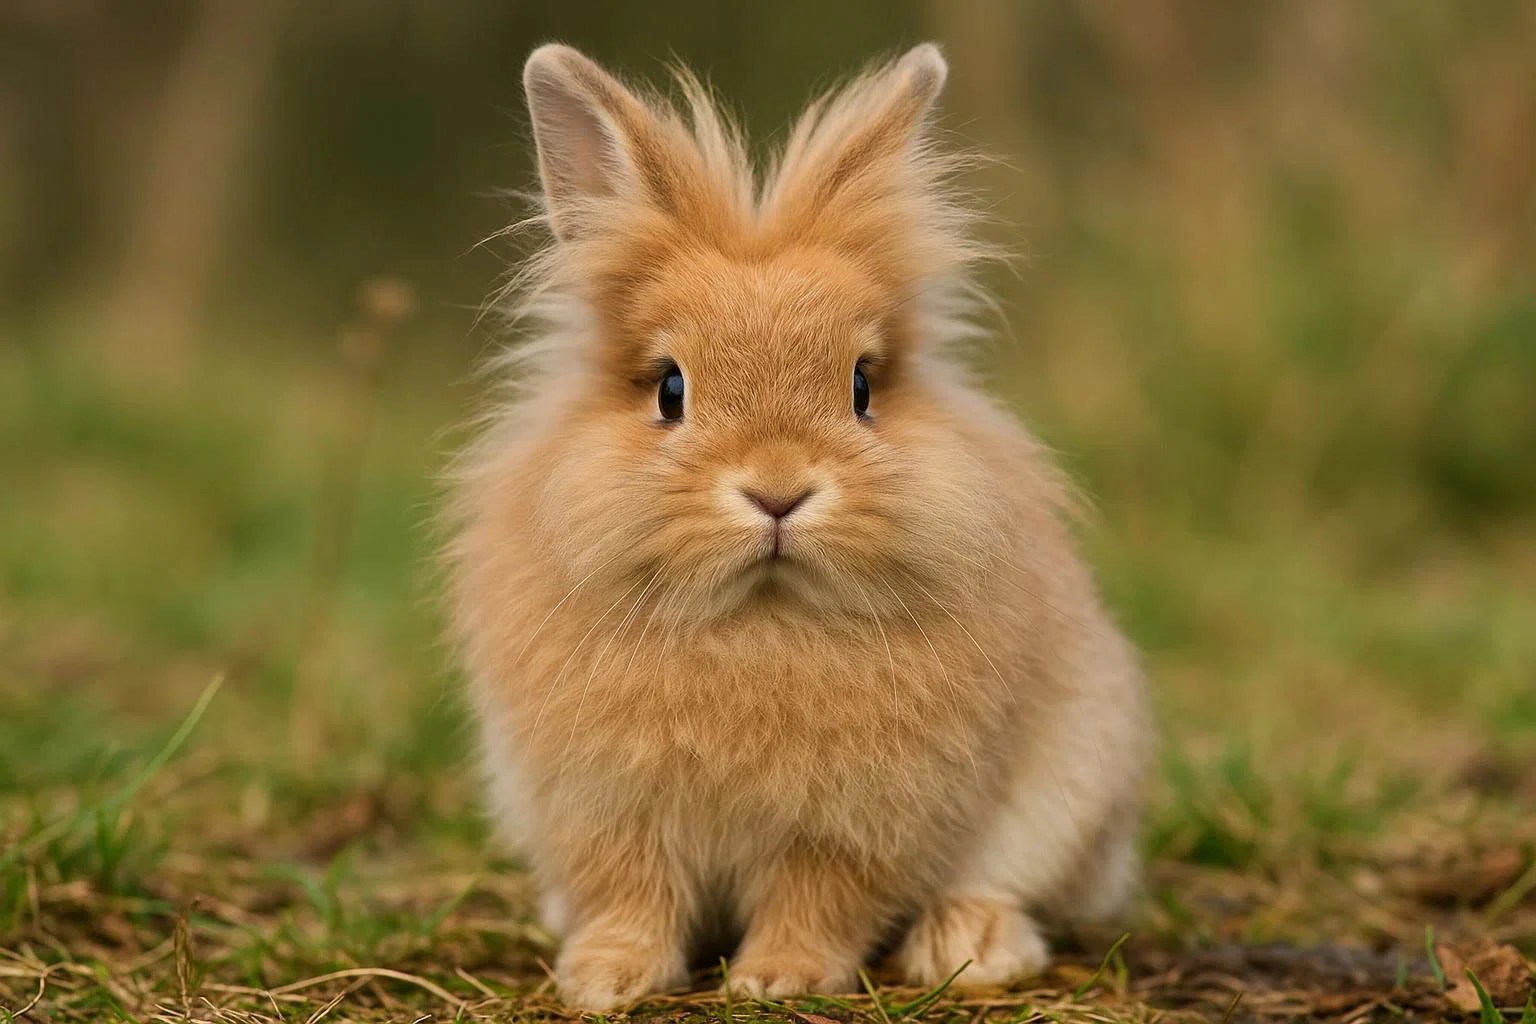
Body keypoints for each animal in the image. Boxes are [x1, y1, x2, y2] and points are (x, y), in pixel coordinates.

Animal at [445, 41, 1151, 1012]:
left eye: (861, 386)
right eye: (670, 389)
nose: (777, 494)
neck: (759, 616)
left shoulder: (858, 826)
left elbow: (819, 899)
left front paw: (778, 979)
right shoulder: (606, 813)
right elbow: (634, 896)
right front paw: (605, 980)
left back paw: (971, 946)